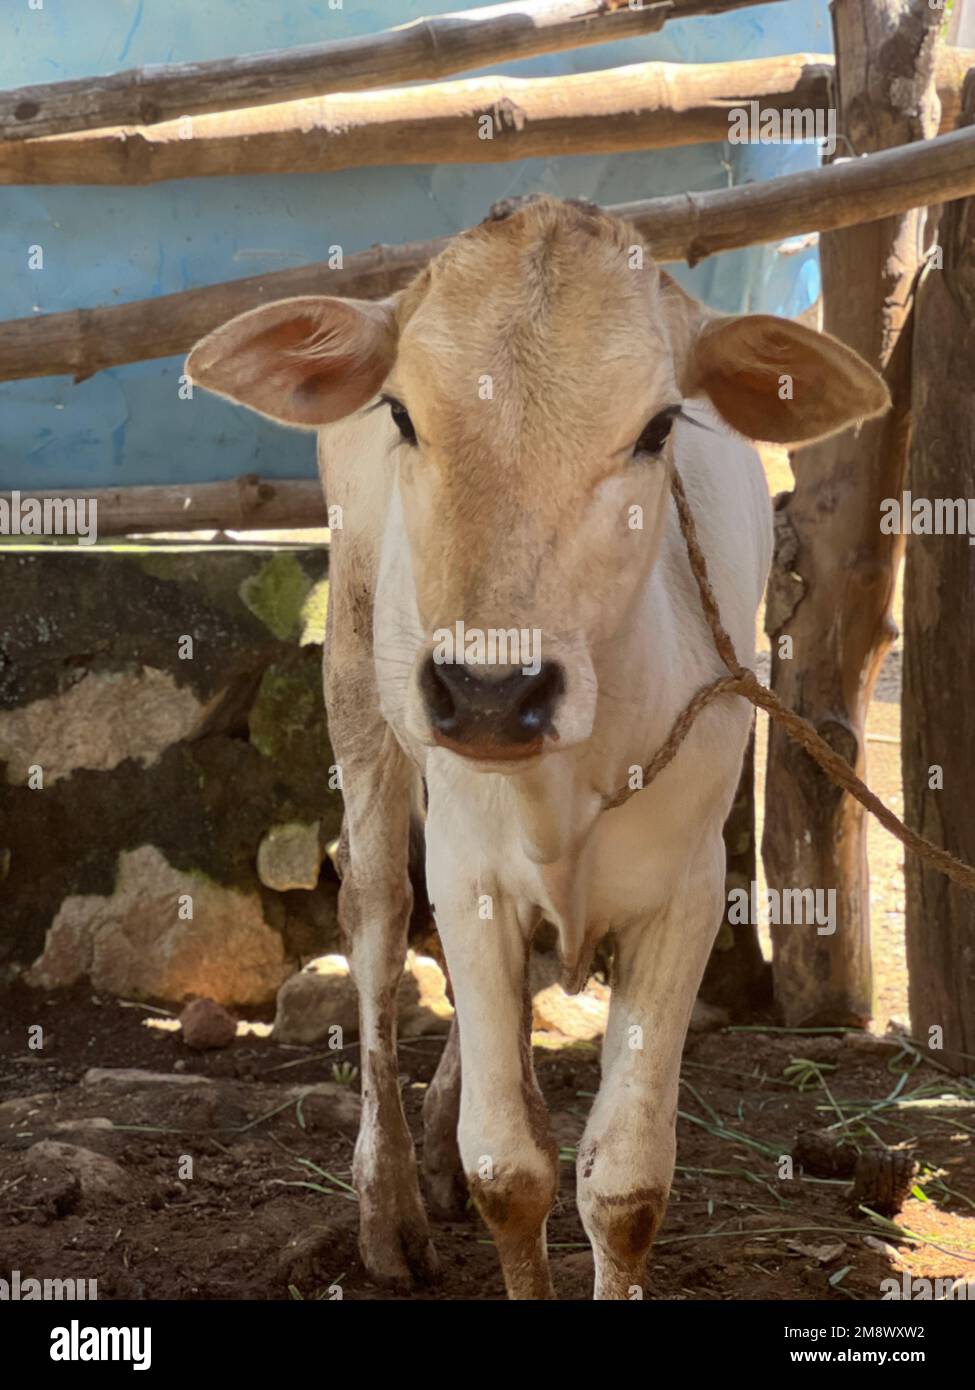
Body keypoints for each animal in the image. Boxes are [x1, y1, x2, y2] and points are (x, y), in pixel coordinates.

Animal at [187, 196, 888, 1299]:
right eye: (401, 415)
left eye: (657, 427)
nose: (489, 692)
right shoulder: (469, 871)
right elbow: (510, 1170)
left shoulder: (690, 890)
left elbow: (626, 1182)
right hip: (357, 688)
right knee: (379, 924)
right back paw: (390, 1206)